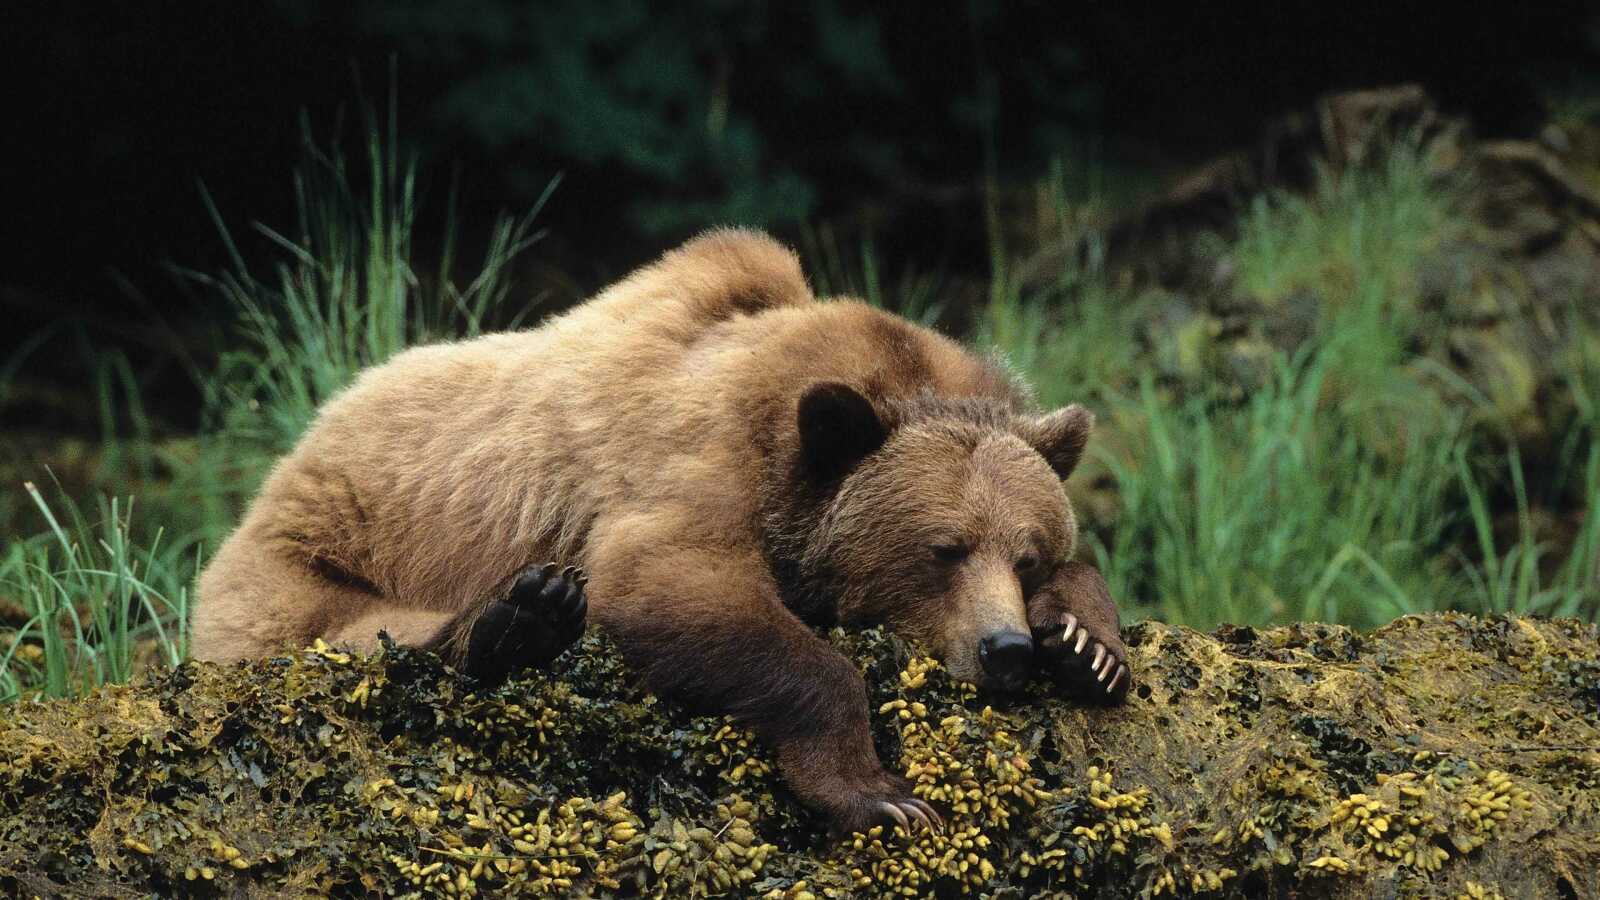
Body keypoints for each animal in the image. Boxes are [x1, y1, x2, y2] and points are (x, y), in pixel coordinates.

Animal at [191, 228, 1132, 835]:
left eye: (1028, 553)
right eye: (942, 550)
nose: (1005, 650)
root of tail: (295, 448)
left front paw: (1088, 645)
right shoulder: (703, 462)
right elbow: (668, 581)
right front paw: (882, 792)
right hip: (297, 568)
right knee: (362, 634)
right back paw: (519, 617)